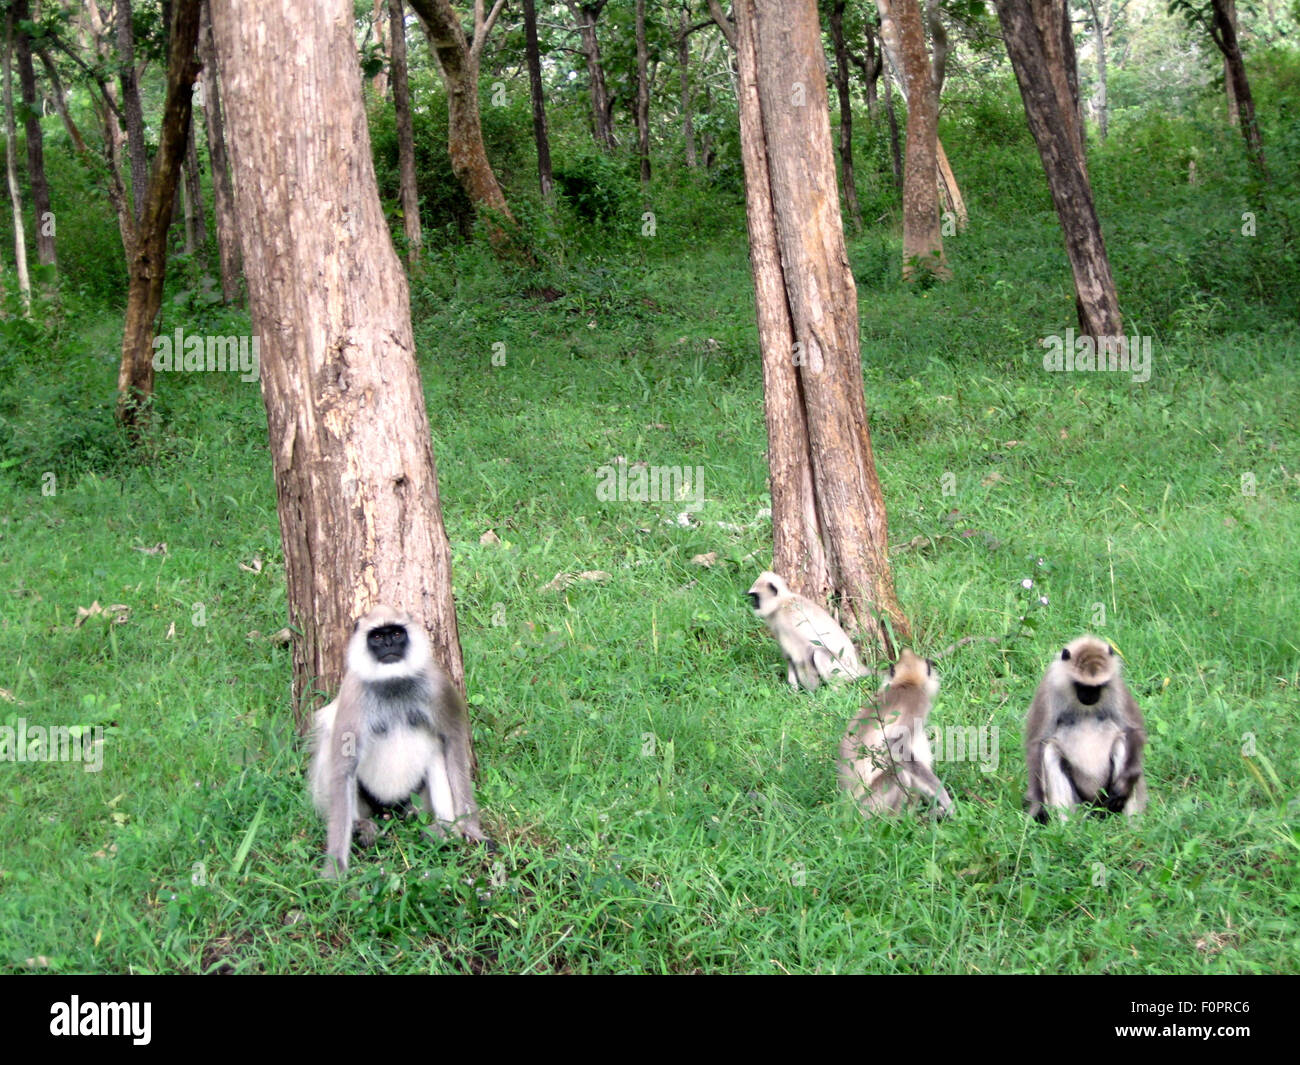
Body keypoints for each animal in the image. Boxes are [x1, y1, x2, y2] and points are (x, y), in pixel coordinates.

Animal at [309, 604, 486, 877]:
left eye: (396, 633)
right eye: (377, 637)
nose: (389, 644)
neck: (391, 682)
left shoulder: (435, 684)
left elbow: (453, 742)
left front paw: (470, 828)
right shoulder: (353, 693)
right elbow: (343, 767)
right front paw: (335, 867)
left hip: (419, 799)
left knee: (436, 753)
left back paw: (443, 828)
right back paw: (361, 825)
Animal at [838, 648, 954, 818]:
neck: (906, 683)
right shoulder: (918, 701)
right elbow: (893, 743)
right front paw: (945, 798)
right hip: (870, 803)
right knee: (900, 772)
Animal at [1024, 635, 1148, 823]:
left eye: (1097, 687)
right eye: (1082, 686)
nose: (1090, 697)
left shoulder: (1115, 685)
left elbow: (1132, 729)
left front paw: (1125, 785)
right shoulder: (1049, 686)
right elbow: (1037, 742)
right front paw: (1038, 808)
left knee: (1121, 741)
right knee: (1051, 750)